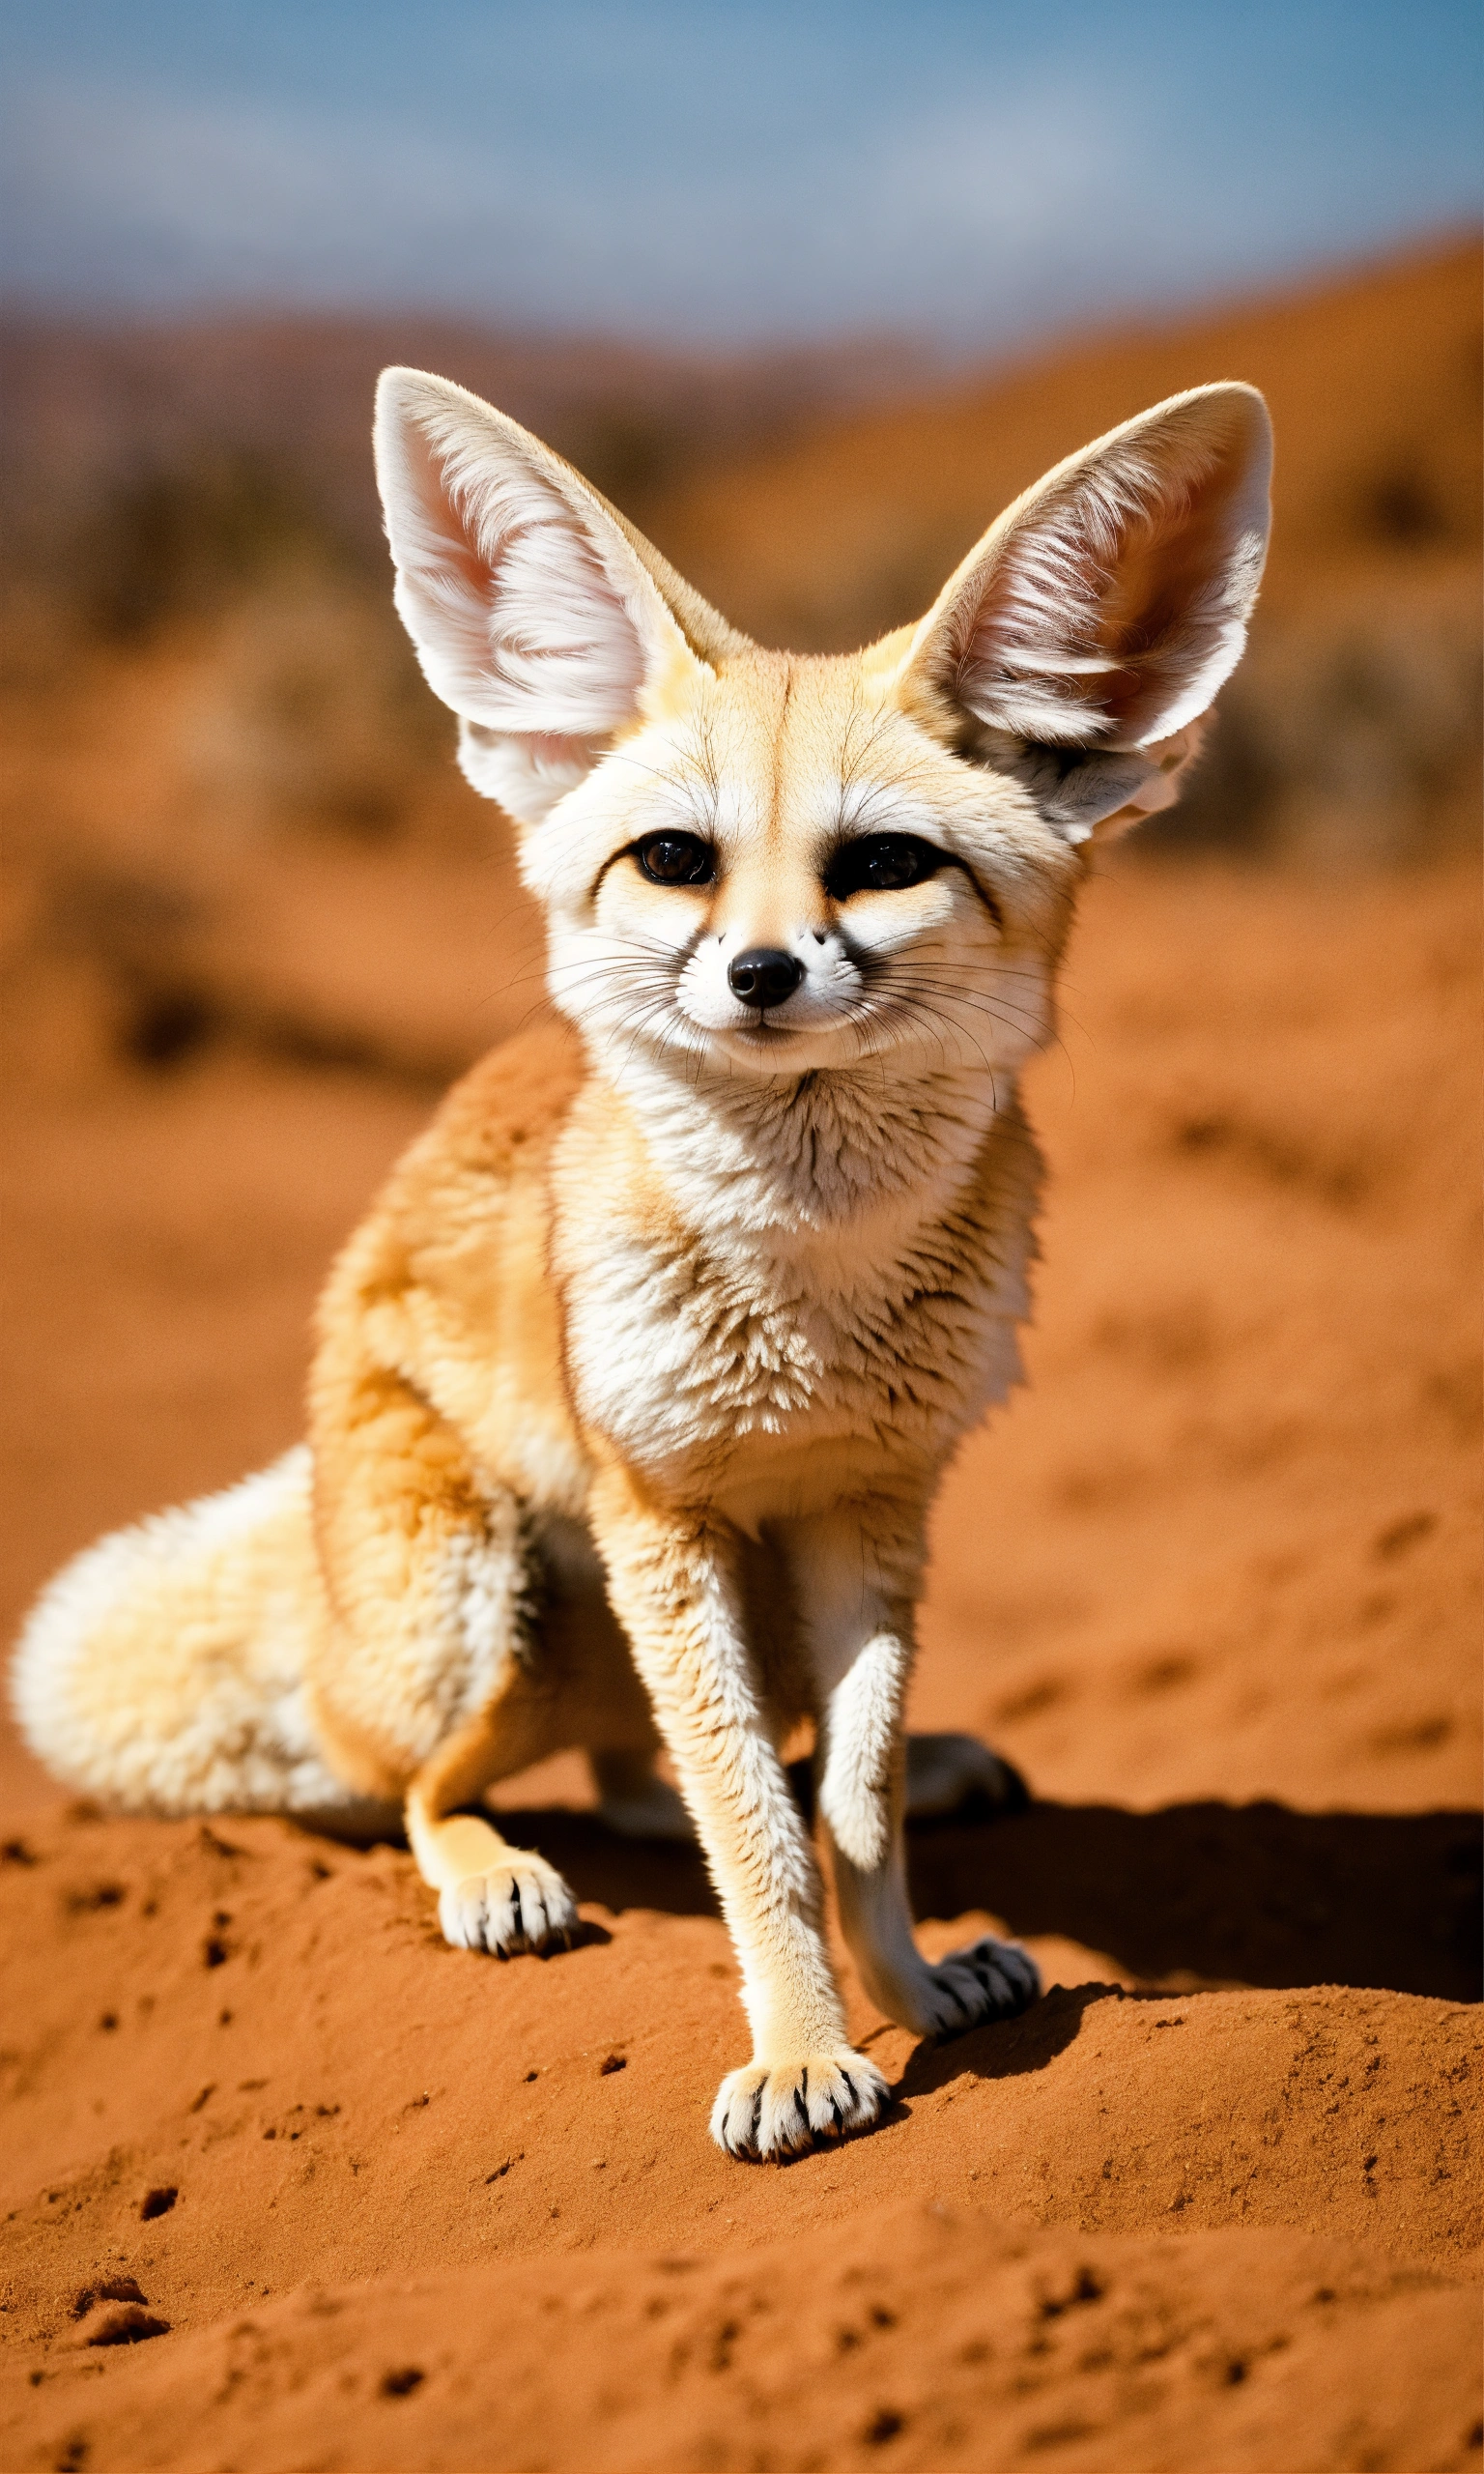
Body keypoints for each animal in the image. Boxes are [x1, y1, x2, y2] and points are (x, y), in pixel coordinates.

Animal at [13, 369, 1271, 2158]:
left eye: (885, 864)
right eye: (676, 860)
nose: (758, 974)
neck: (810, 1292)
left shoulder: (877, 1506)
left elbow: (849, 1811)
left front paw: (906, 1985)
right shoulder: (658, 1513)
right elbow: (751, 1830)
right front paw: (803, 2054)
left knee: (650, 1772)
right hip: (502, 1600)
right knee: (432, 1782)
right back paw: (495, 1876)